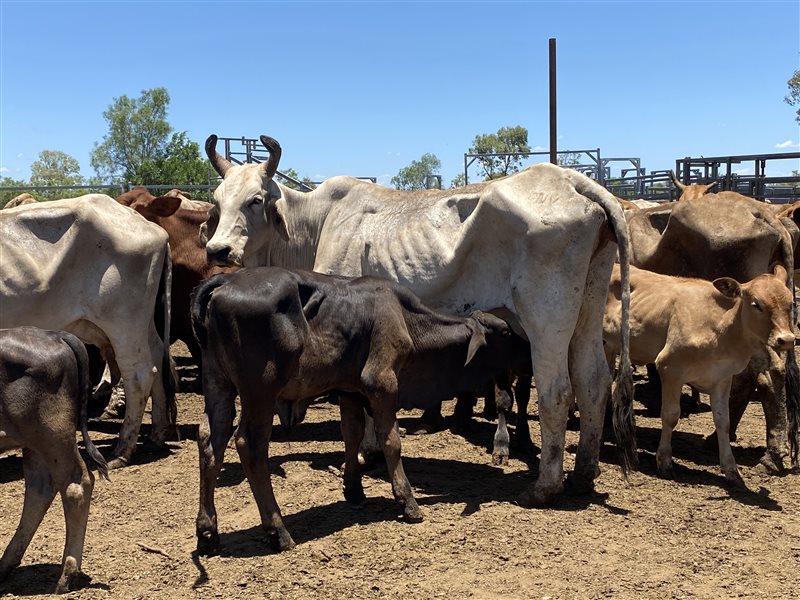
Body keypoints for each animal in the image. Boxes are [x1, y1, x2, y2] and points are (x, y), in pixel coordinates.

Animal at [0, 194, 176, 469]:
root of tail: (153, 228)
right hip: (140, 324)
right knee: (157, 356)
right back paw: (156, 436)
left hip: (123, 321)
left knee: (140, 374)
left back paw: (122, 451)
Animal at [0, 327, 109, 593]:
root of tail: (56, 335)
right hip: (34, 444)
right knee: (39, 490)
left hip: (52, 436)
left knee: (75, 484)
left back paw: (67, 575)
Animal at [190, 267, 533, 554]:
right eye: (506, 332)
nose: (529, 350)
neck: (406, 318)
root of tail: (225, 281)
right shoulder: (382, 383)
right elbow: (391, 442)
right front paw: (407, 501)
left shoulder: (350, 390)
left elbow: (352, 434)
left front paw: (354, 488)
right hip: (260, 393)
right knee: (249, 445)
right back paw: (277, 529)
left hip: (217, 383)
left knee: (210, 440)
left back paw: (208, 532)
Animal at [199, 134, 637, 507]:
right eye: (218, 200)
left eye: (255, 200)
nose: (218, 249)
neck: (319, 223)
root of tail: (571, 179)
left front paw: (365, 454)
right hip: (587, 307)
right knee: (594, 381)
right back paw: (583, 476)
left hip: (546, 316)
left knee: (557, 392)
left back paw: (544, 486)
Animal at [603, 264, 795, 486]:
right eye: (757, 304)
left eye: (791, 303)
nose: (786, 339)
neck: (721, 328)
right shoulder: (670, 368)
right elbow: (670, 415)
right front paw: (664, 462)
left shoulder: (722, 378)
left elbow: (723, 421)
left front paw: (731, 470)